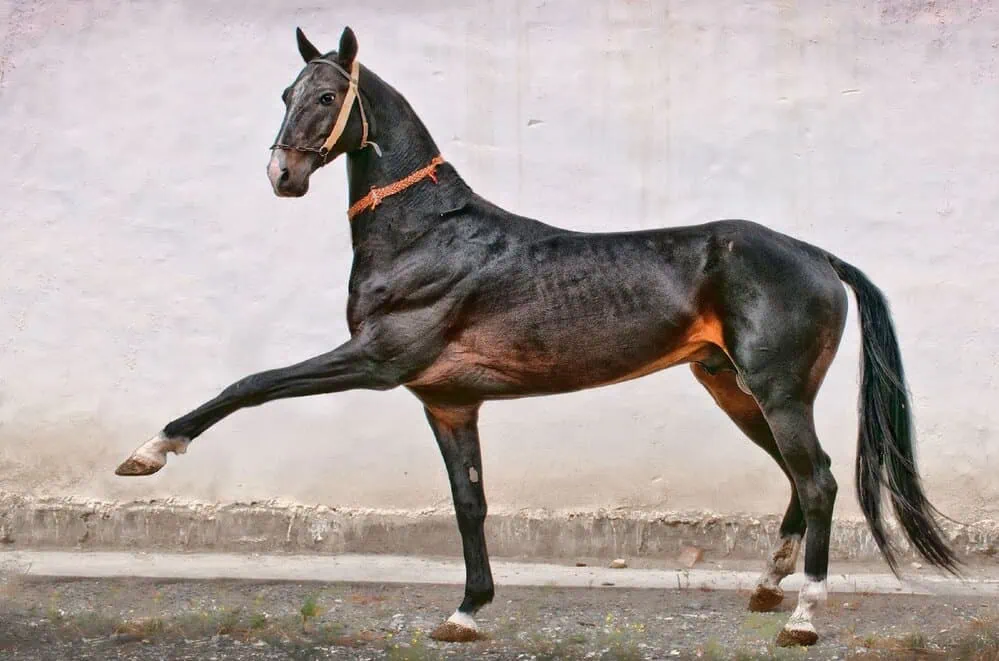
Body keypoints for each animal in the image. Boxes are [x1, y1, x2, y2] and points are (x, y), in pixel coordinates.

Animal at [115, 26, 959, 647]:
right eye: (287, 93)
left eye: (326, 95)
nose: (282, 175)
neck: (426, 234)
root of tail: (818, 256)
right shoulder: (448, 401)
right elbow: (470, 502)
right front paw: (464, 611)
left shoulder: (378, 361)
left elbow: (250, 384)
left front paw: (150, 452)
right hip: (732, 387)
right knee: (799, 476)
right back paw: (765, 586)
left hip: (777, 391)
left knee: (816, 481)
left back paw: (803, 616)